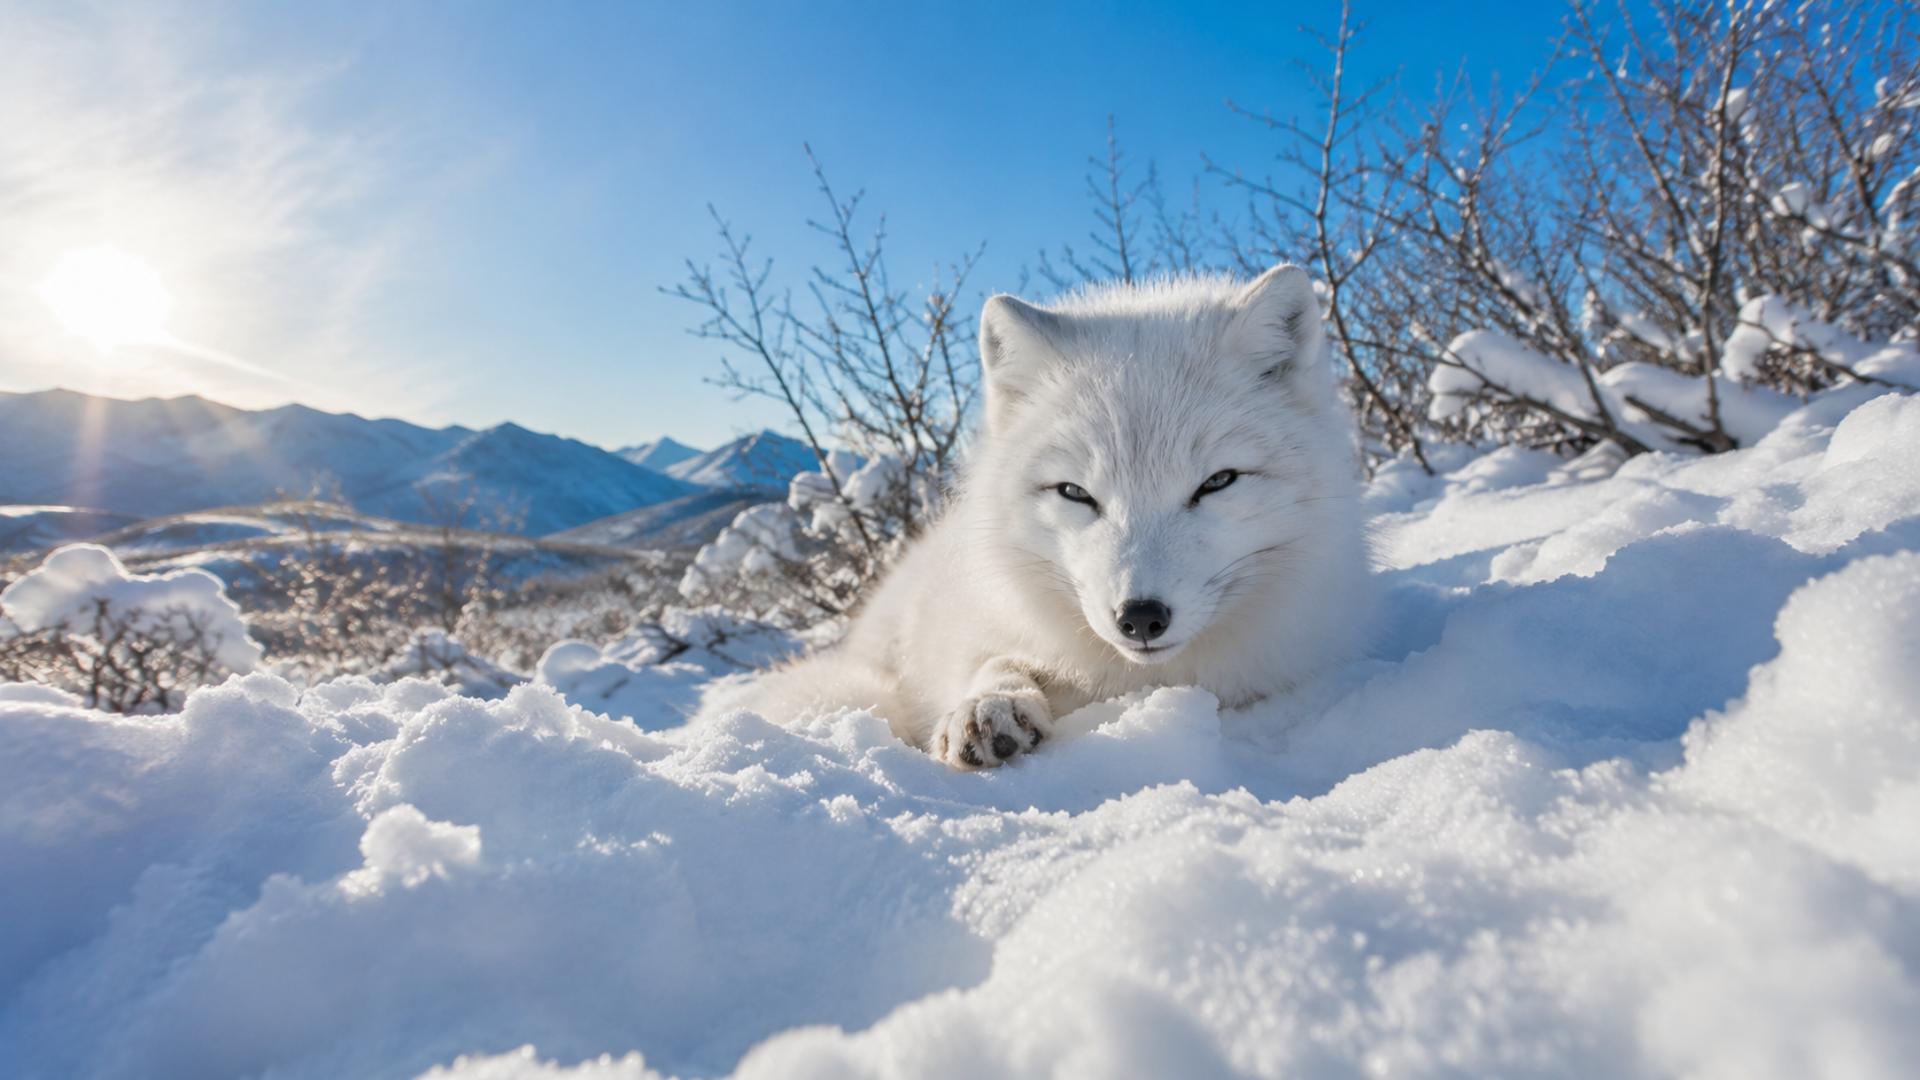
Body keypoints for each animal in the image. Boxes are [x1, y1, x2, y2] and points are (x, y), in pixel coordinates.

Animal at [713, 265, 1372, 769]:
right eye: (1075, 492)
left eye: (1217, 483)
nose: (1140, 618)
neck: (1139, 678)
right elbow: (998, 659)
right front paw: (989, 707)